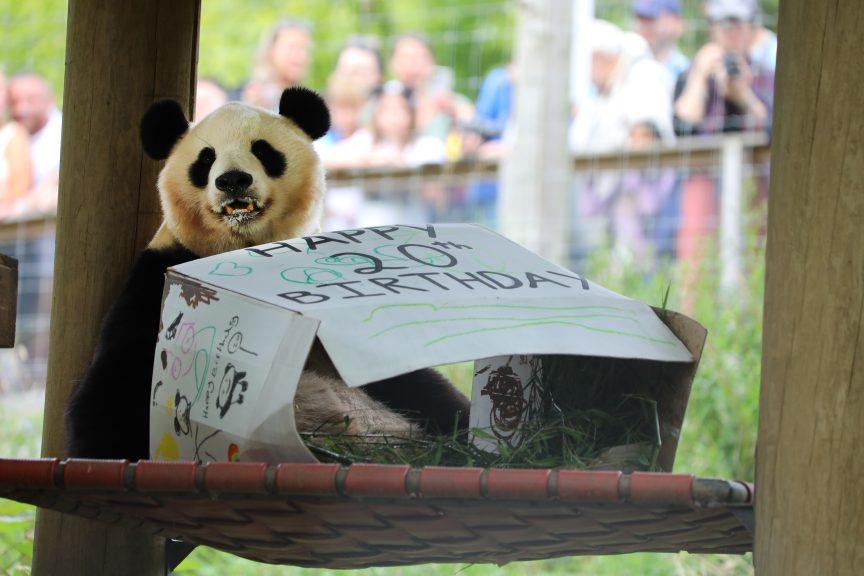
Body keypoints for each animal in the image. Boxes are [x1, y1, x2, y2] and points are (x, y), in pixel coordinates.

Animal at [65, 87, 470, 461]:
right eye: (206, 158)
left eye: (263, 150)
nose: (232, 180)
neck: (241, 250)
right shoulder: (161, 275)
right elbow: (117, 381)